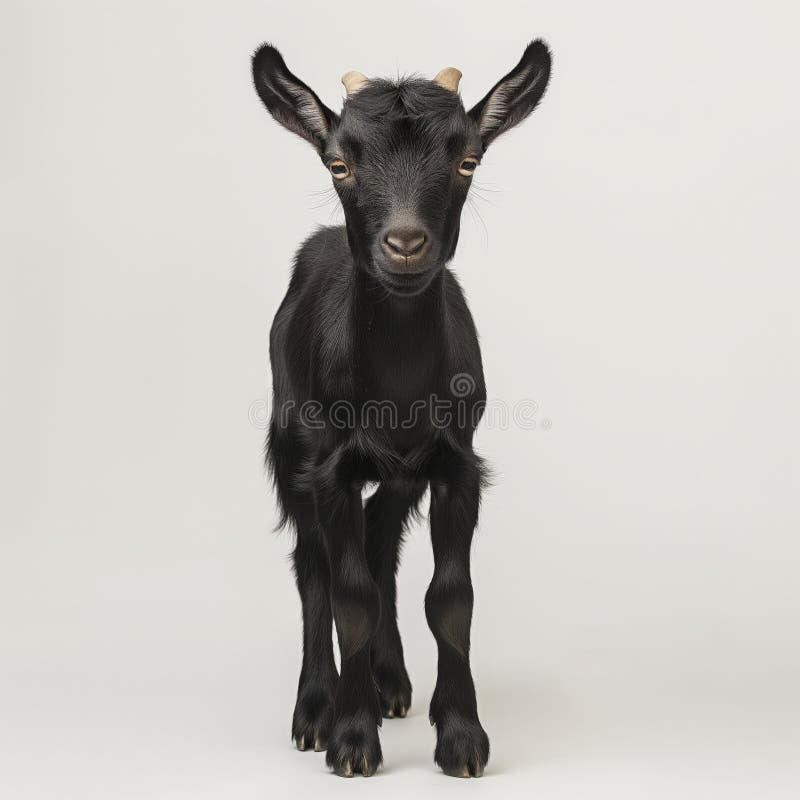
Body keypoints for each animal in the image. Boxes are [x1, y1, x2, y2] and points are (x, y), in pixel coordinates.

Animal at [251, 40, 551, 778]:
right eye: (340, 162)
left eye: (466, 159)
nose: (406, 244)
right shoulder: (329, 469)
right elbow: (348, 595)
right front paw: (352, 740)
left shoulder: (454, 465)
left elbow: (450, 598)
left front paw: (463, 738)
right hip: (290, 444)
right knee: (314, 568)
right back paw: (314, 710)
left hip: (399, 473)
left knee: (381, 545)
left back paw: (390, 682)